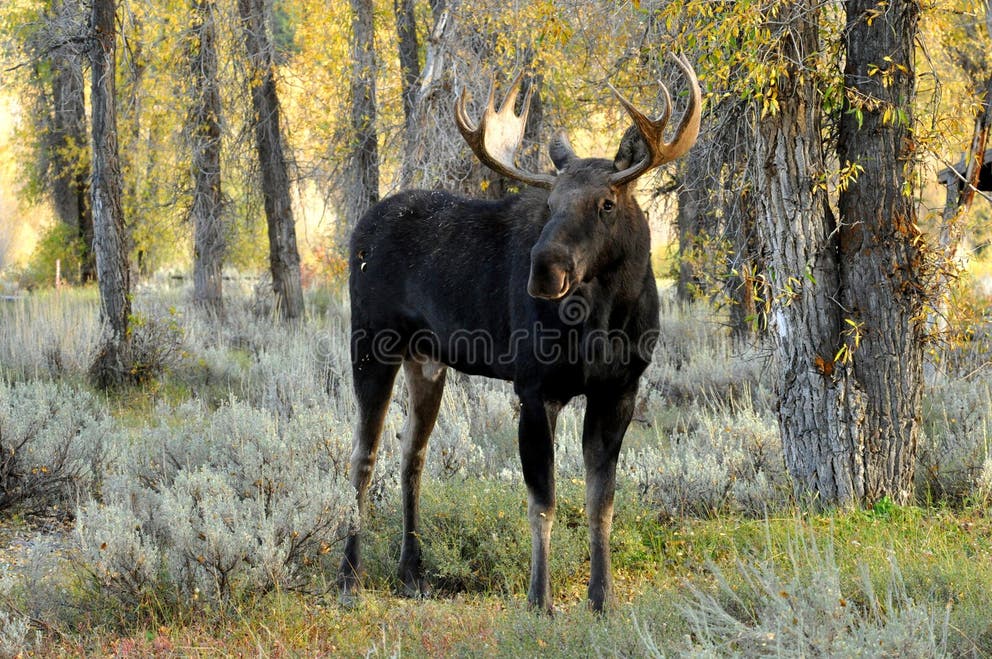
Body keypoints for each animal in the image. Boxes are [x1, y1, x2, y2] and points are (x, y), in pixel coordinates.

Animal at [339, 54, 700, 613]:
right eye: (550, 203)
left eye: (607, 203)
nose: (545, 270)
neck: (603, 320)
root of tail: (359, 227)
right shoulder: (534, 389)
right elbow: (543, 502)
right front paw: (539, 599)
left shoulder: (619, 388)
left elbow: (601, 502)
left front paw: (601, 599)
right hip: (371, 345)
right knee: (362, 456)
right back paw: (350, 578)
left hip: (427, 360)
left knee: (411, 455)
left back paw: (412, 573)